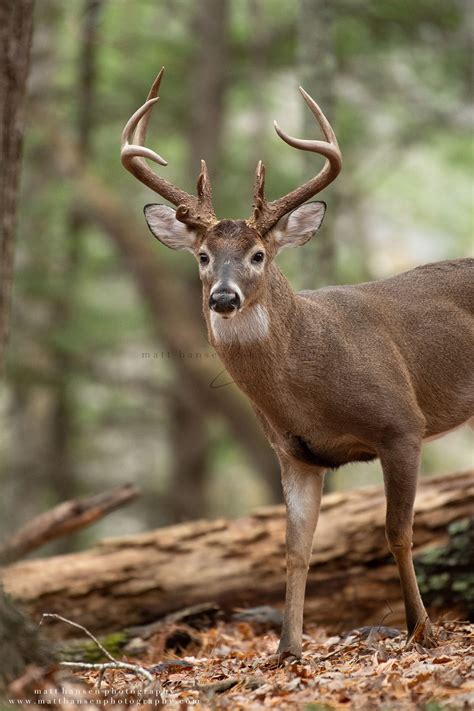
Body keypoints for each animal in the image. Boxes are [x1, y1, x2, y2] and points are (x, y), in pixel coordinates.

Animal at [121, 69, 474, 660]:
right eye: (203, 256)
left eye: (258, 255)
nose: (223, 298)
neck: (309, 386)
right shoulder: (295, 454)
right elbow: (295, 548)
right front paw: (288, 648)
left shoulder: (402, 424)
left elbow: (397, 532)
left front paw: (420, 629)